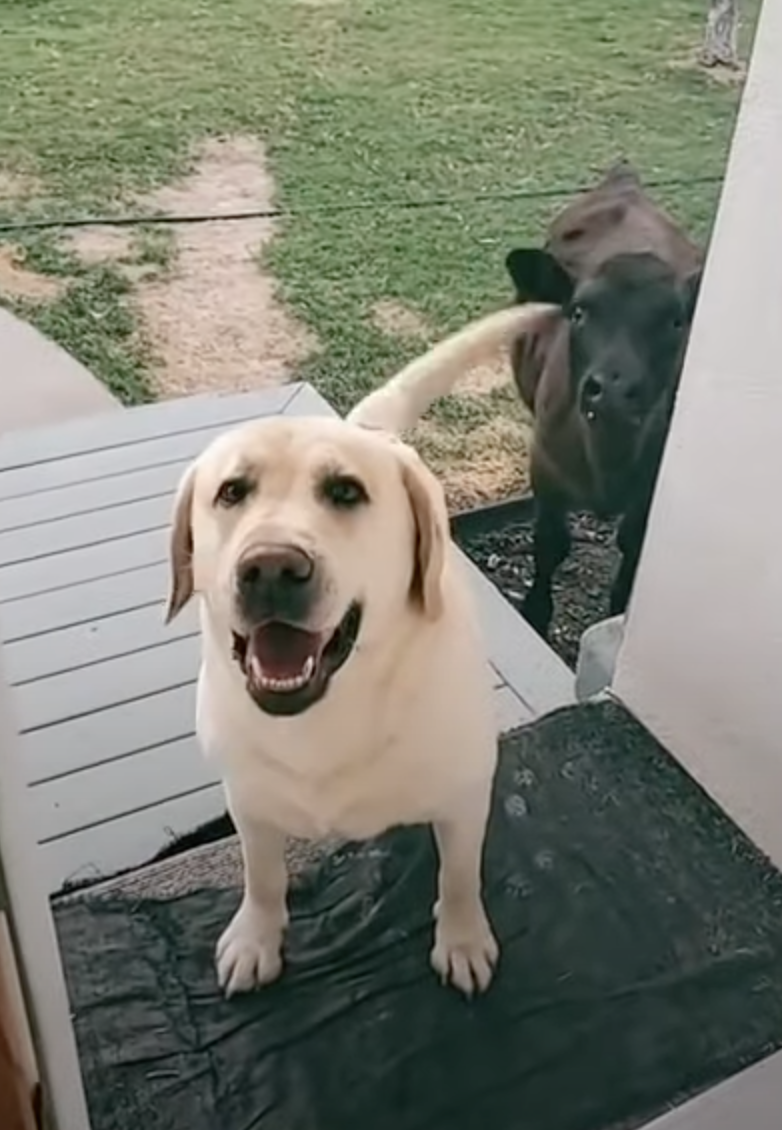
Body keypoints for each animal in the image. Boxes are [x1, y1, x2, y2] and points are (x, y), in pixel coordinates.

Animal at [504, 161, 704, 640]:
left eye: (675, 321)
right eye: (578, 312)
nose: (612, 389)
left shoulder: (651, 486)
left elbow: (633, 548)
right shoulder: (545, 464)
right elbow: (551, 544)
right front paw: (536, 613)